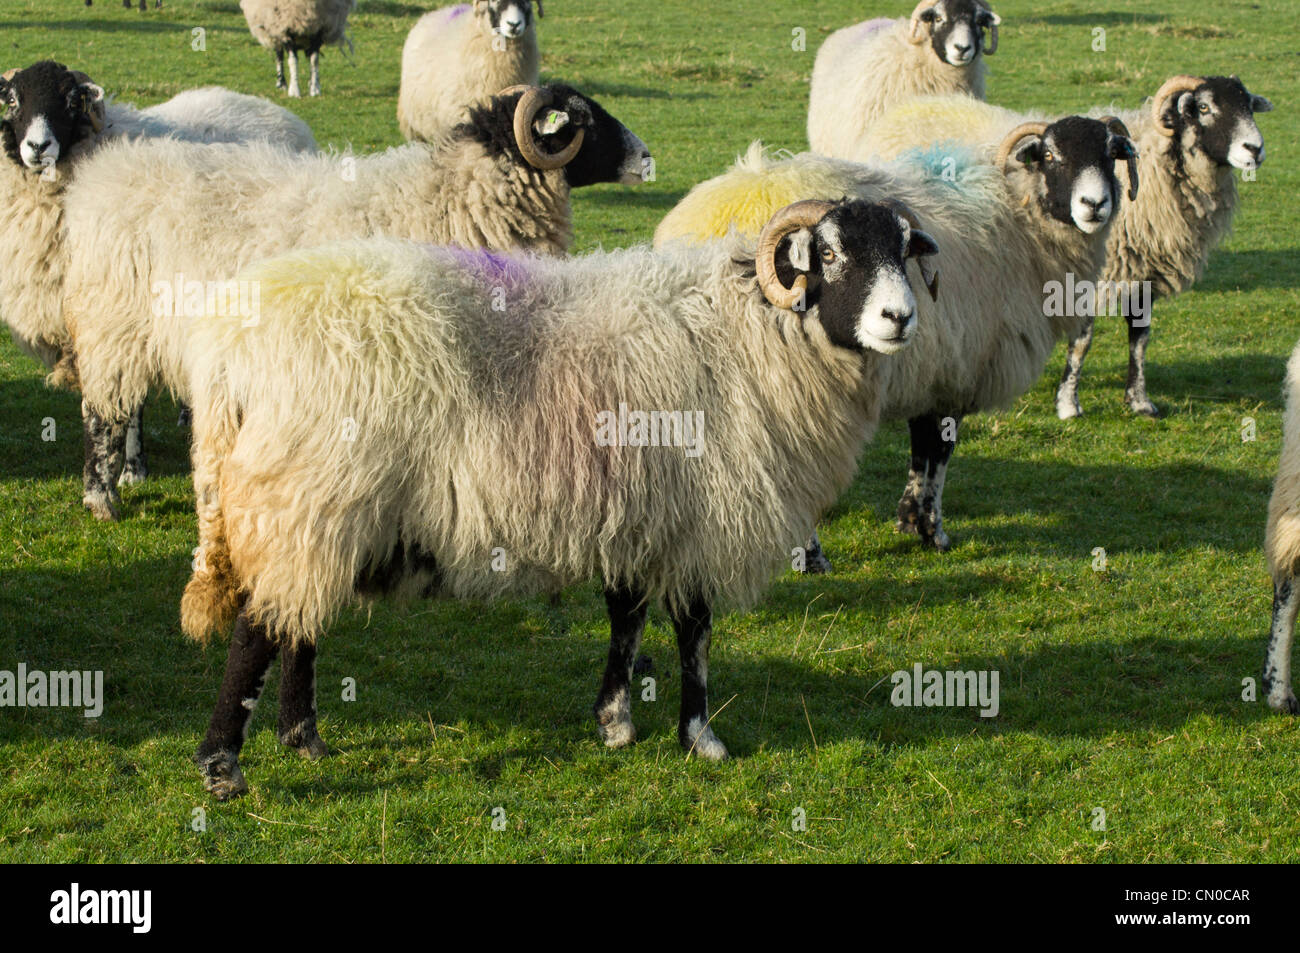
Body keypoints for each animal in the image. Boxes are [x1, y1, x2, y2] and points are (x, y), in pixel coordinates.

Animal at [0, 61, 316, 487]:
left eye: (70, 101)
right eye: (13, 100)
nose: (37, 147)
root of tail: (271, 108)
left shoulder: (126, 304)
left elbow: (131, 400)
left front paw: (132, 469)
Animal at [60, 84, 652, 521]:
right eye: (582, 120)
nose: (647, 160)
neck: (449, 200)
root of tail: (101, 178)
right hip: (114, 326)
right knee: (100, 412)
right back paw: (101, 498)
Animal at [178, 198, 941, 798]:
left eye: (904, 250)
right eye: (830, 253)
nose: (899, 317)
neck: (753, 332)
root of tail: (229, 353)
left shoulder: (639, 511)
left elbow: (627, 619)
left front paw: (615, 722)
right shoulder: (699, 514)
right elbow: (693, 632)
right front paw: (701, 736)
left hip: (321, 509)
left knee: (295, 620)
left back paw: (302, 737)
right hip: (307, 491)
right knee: (257, 629)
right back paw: (222, 767)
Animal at [655, 114, 1137, 564]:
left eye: (1110, 153)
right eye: (1052, 156)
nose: (1095, 205)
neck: (1019, 220)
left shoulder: (931, 373)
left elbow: (920, 450)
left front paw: (909, 521)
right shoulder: (955, 373)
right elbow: (938, 451)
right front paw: (932, 531)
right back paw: (810, 555)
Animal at [857, 77, 1274, 419]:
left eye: (1248, 105)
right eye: (1204, 107)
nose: (1255, 149)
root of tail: (910, 108)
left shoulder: (1142, 276)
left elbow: (1140, 338)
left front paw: (1140, 401)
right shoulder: (1091, 277)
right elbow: (1082, 341)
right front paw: (1068, 403)